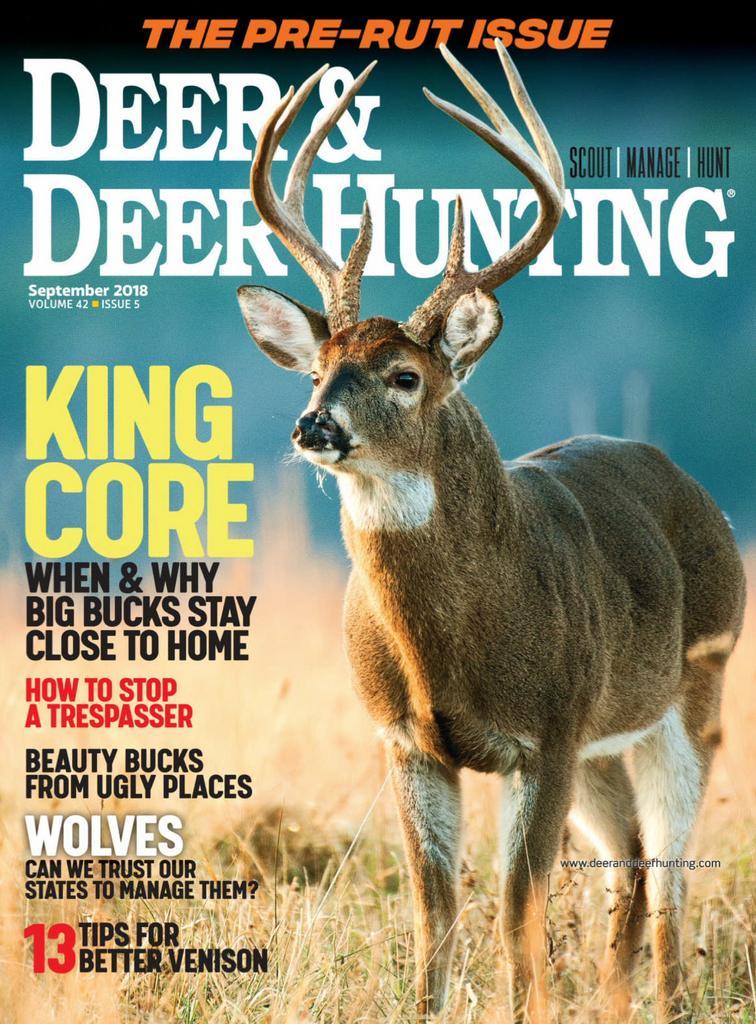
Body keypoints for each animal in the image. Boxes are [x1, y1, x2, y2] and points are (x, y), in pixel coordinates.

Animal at [236, 42, 745, 1022]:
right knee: (629, 856)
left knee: (670, 871)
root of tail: (692, 484)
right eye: (318, 369)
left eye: (403, 375)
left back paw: (666, 1002)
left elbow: (518, 911)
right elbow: (434, 912)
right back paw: (615, 998)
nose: (314, 426)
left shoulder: (545, 733)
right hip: (601, 743)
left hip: (693, 690)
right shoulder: (404, 739)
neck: (452, 650)